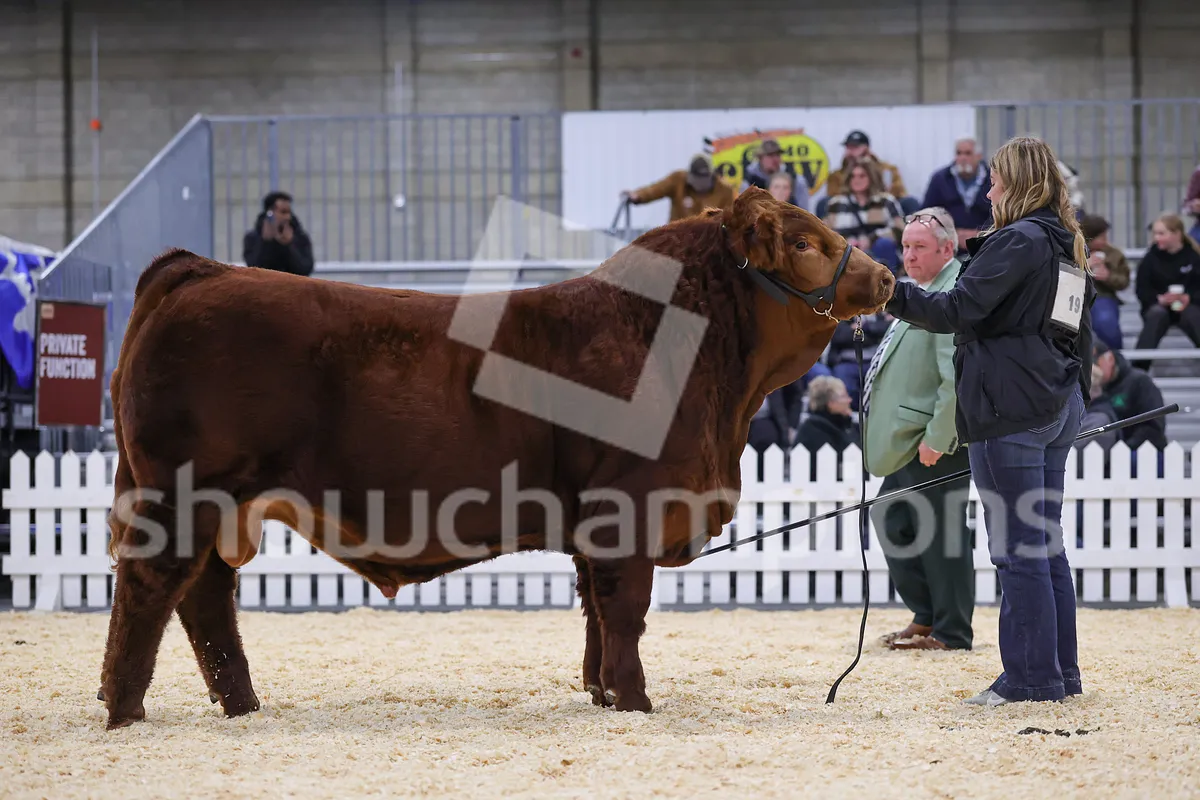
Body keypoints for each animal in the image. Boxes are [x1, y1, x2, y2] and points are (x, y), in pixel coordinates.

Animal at [97, 187, 895, 729]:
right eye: (804, 242)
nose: (886, 278)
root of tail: (199, 270)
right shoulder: (631, 508)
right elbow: (626, 611)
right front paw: (636, 702)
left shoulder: (592, 525)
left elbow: (595, 611)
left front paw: (602, 692)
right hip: (184, 495)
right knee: (151, 590)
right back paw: (126, 711)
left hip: (214, 504)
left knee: (202, 599)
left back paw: (241, 705)